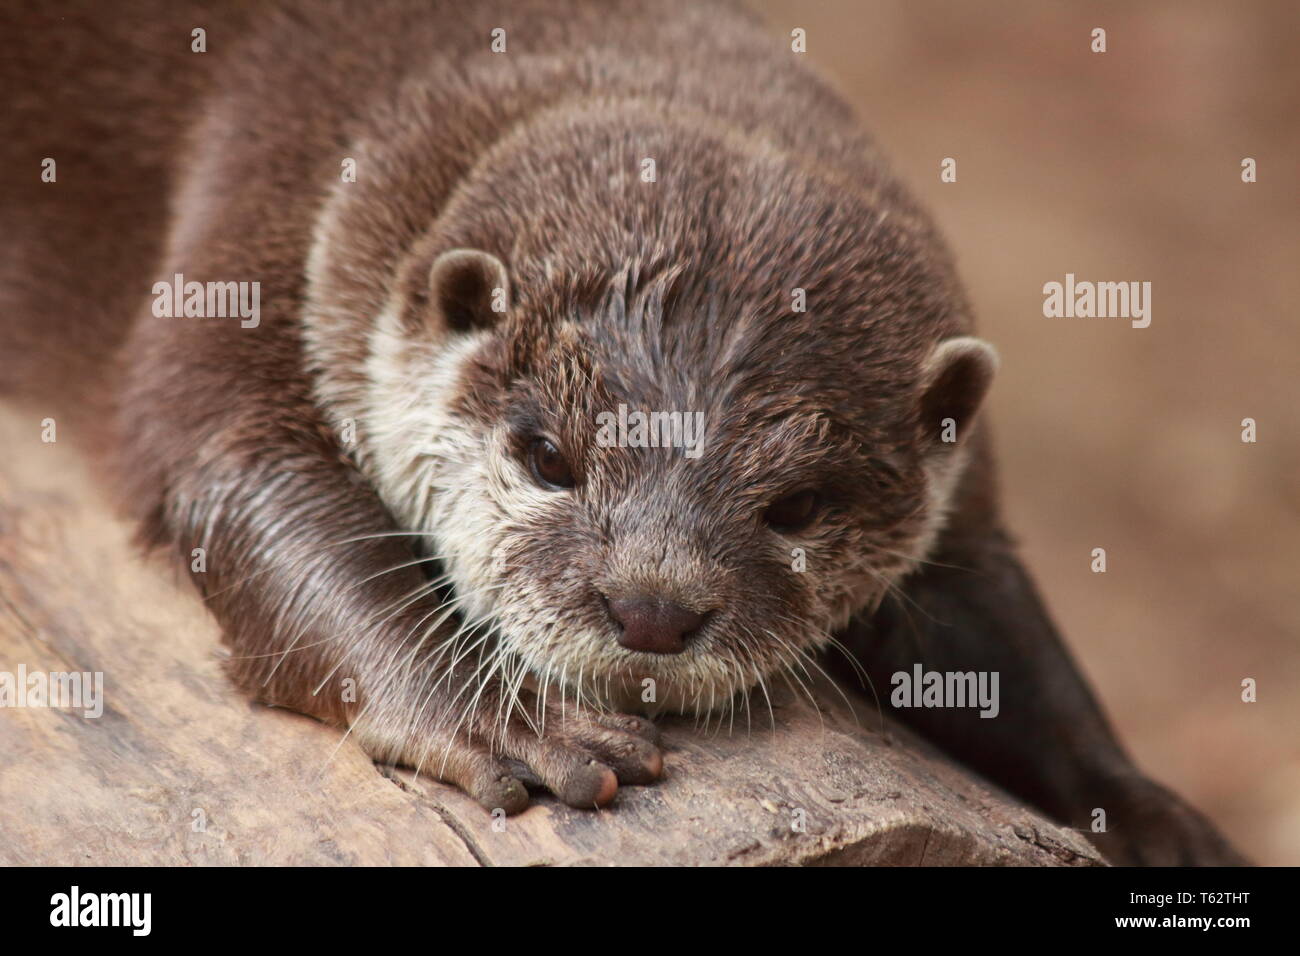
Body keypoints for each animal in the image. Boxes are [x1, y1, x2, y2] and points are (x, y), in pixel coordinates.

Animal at [0, 0, 1243, 865]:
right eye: (546, 455)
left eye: (798, 504)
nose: (651, 606)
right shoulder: (262, 214)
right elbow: (230, 463)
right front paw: (504, 714)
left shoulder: (961, 477)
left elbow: (996, 629)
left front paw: (1148, 811)